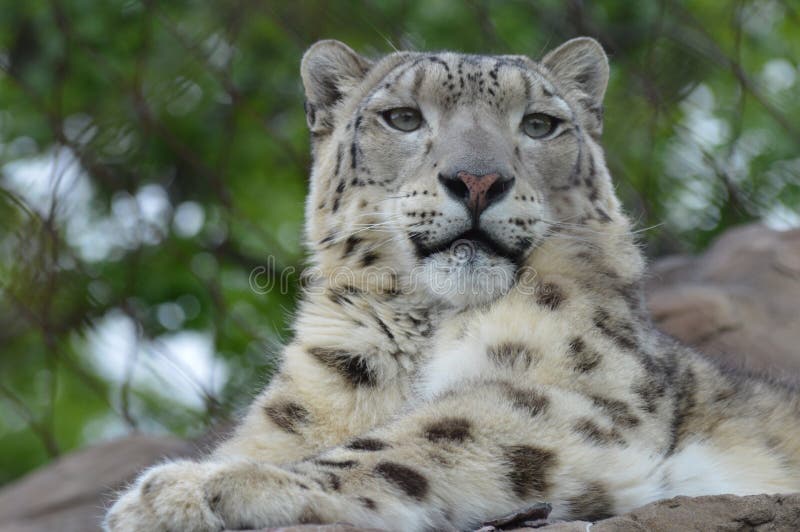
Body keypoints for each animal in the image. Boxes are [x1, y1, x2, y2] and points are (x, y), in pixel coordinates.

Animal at [105, 37, 800, 531]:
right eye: (402, 117)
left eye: (539, 124)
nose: (477, 180)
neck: (424, 329)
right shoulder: (295, 413)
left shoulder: (568, 396)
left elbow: (412, 441)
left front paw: (193, 488)